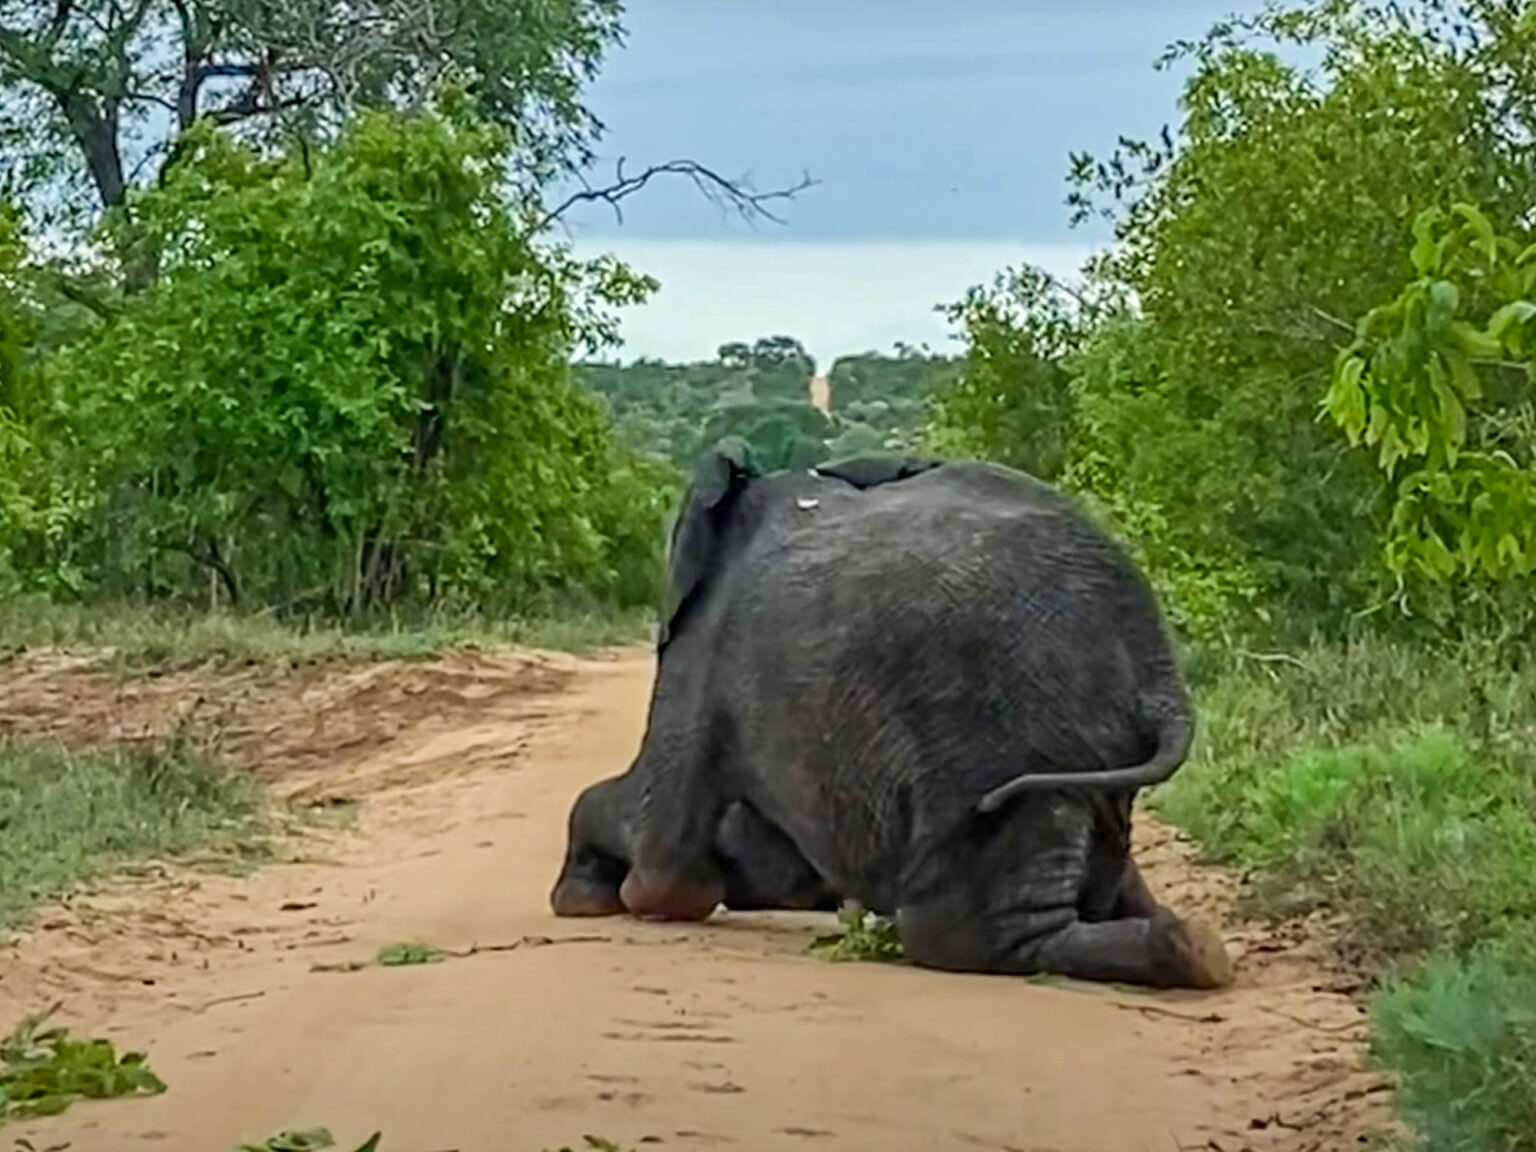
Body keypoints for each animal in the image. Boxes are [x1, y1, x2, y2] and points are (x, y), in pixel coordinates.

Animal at [550, 445, 1233, 990]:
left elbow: (666, 874)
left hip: (992, 739)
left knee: (965, 930)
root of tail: (1159, 674)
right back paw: (1198, 950)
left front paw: (585, 901)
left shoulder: (703, 649)